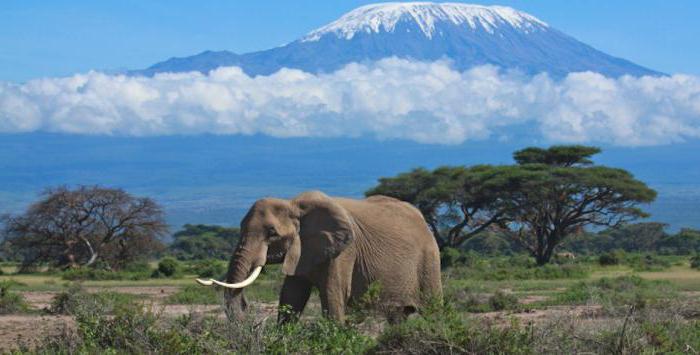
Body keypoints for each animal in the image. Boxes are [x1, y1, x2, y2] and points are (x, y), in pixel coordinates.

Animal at [194, 192, 440, 322]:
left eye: (272, 233)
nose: (246, 305)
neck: (294, 205)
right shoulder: (302, 250)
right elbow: (291, 297)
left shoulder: (344, 251)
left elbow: (333, 296)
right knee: (398, 316)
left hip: (430, 257)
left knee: (432, 308)